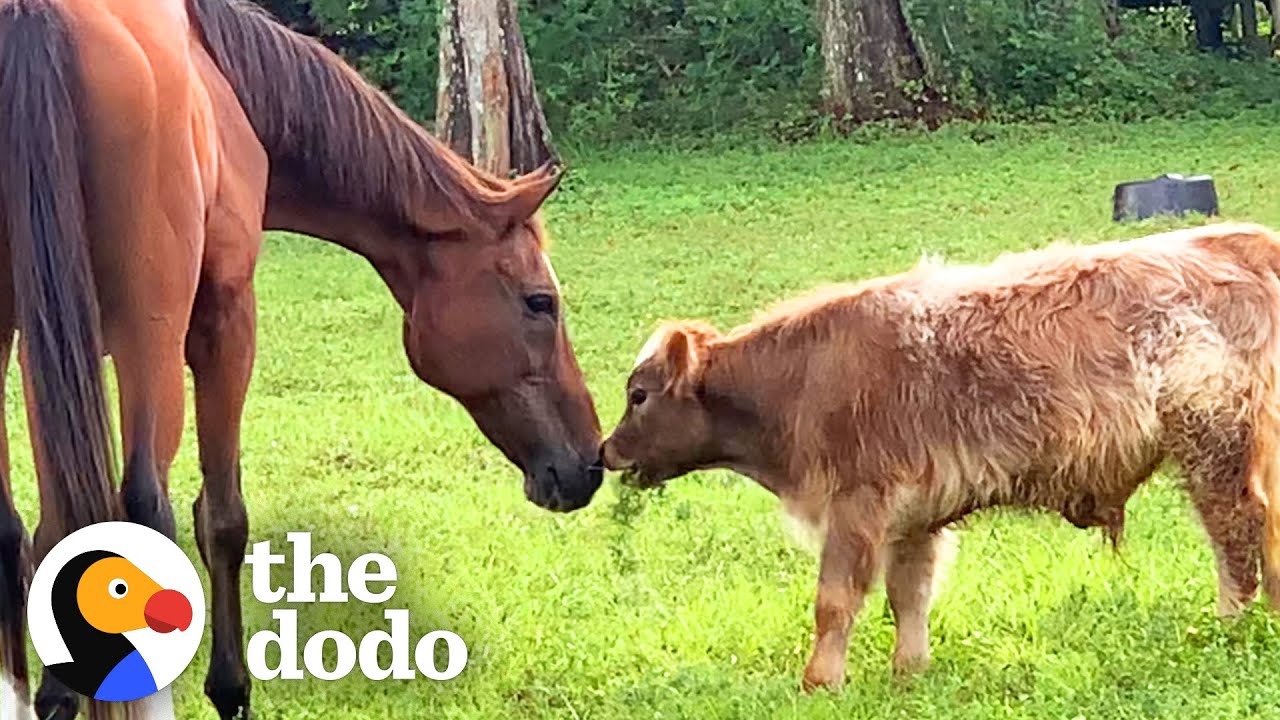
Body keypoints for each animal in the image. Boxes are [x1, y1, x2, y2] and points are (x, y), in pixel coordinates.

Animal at [600, 222, 1280, 691]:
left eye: (639, 395)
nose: (605, 452)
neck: (803, 378)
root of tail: (1242, 241)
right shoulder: (914, 517)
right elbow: (910, 595)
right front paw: (909, 670)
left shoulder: (857, 502)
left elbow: (835, 599)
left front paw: (820, 680)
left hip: (1215, 446)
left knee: (1236, 533)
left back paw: (1232, 627)